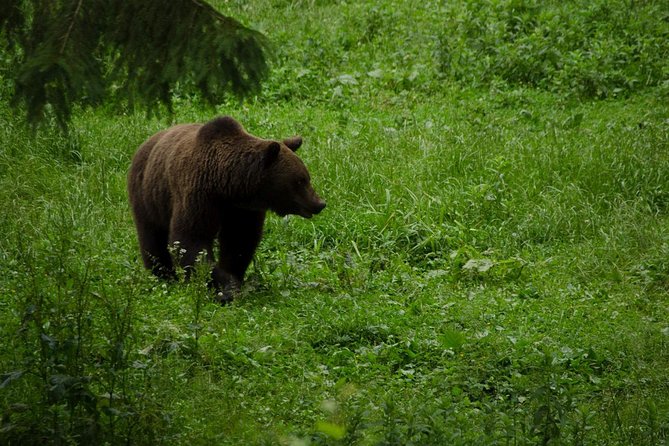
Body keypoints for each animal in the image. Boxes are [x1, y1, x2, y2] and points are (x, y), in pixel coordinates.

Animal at [127, 116, 326, 302]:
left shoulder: (242, 209)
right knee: (152, 238)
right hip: (148, 196)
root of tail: (146, 142)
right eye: (299, 180)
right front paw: (225, 287)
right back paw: (163, 276)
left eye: (306, 177)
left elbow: (239, 240)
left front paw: (233, 278)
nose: (319, 203)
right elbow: (191, 239)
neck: (227, 187)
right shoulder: (199, 194)